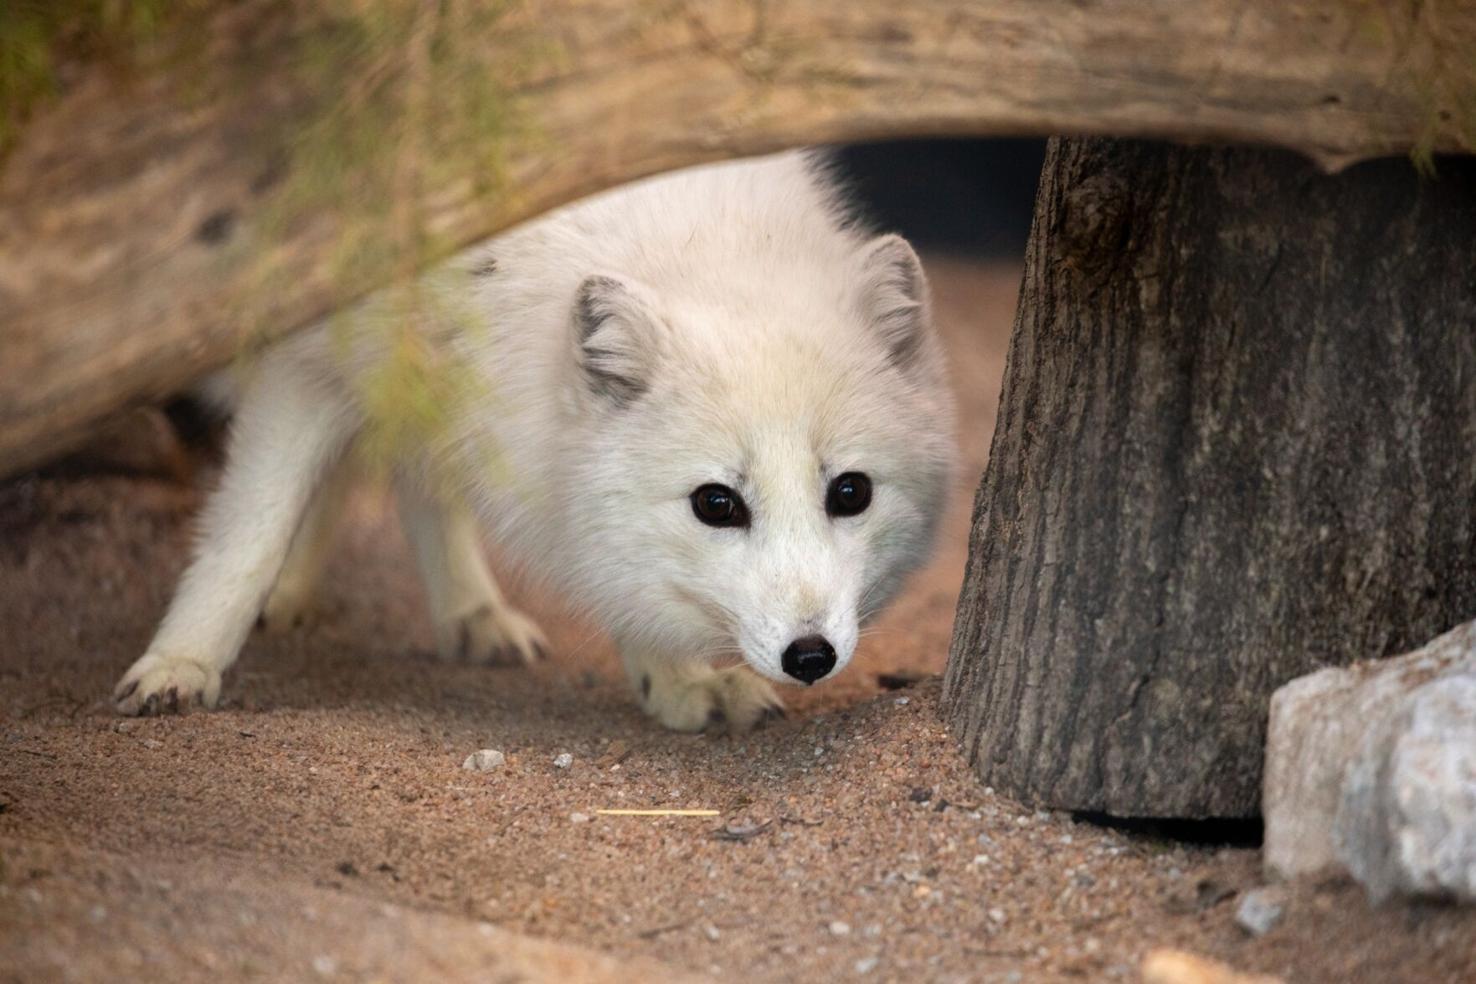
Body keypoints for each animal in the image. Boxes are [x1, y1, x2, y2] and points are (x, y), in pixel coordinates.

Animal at [112, 150, 956, 732]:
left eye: (851, 492)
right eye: (717, 504)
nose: (810, 657)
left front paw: (675, 676)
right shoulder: (308, 356)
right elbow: (248, 538)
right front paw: (180, 662)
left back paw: (470, 612)